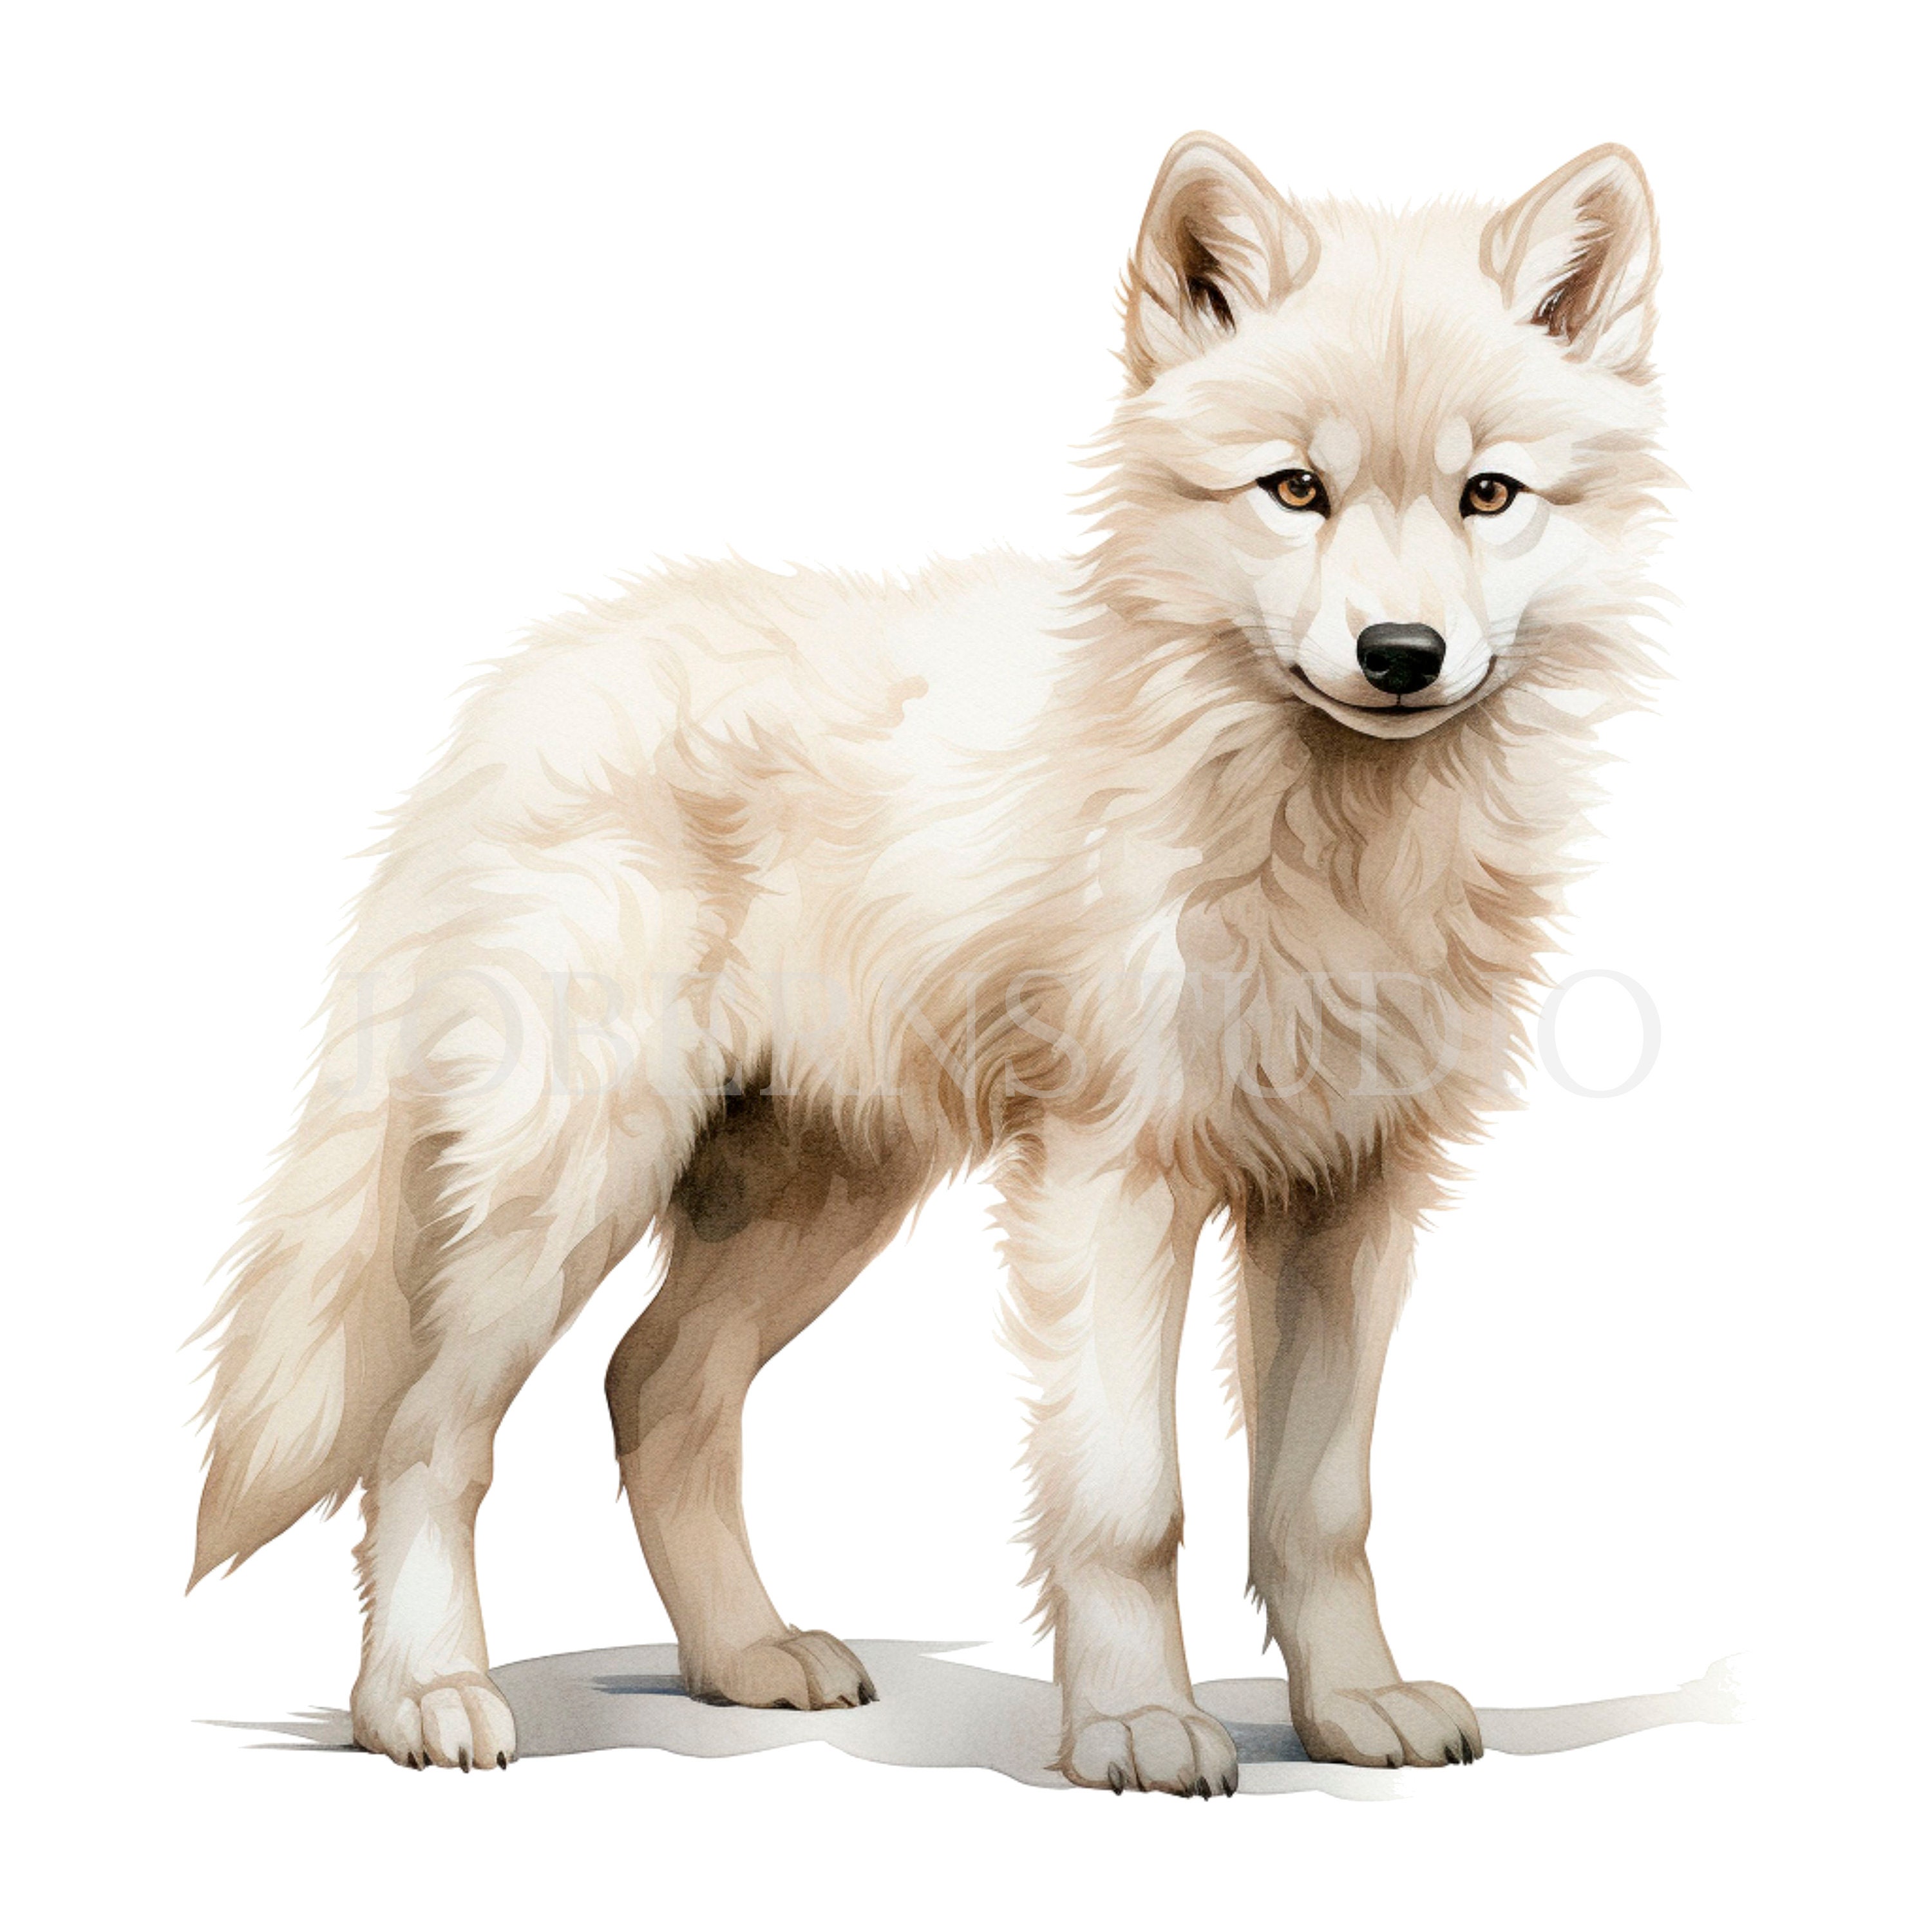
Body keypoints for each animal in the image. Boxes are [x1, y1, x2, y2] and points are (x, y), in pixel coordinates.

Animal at [192, 133, 1665, 1792]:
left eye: (1489, 493)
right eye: (1296, 489)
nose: (1401, 654)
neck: (1327, 834)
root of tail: (510, 699)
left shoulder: (1348, 1199)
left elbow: (1318, 1504)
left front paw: (1351, 1710)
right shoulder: (1115, 1185)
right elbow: (1128, 1504)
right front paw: (1137, 1726)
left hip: (819, 1197)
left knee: (654, 1384)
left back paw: (745, 1659)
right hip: (575, 1187)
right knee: (427, 1430)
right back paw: (422, 1698)